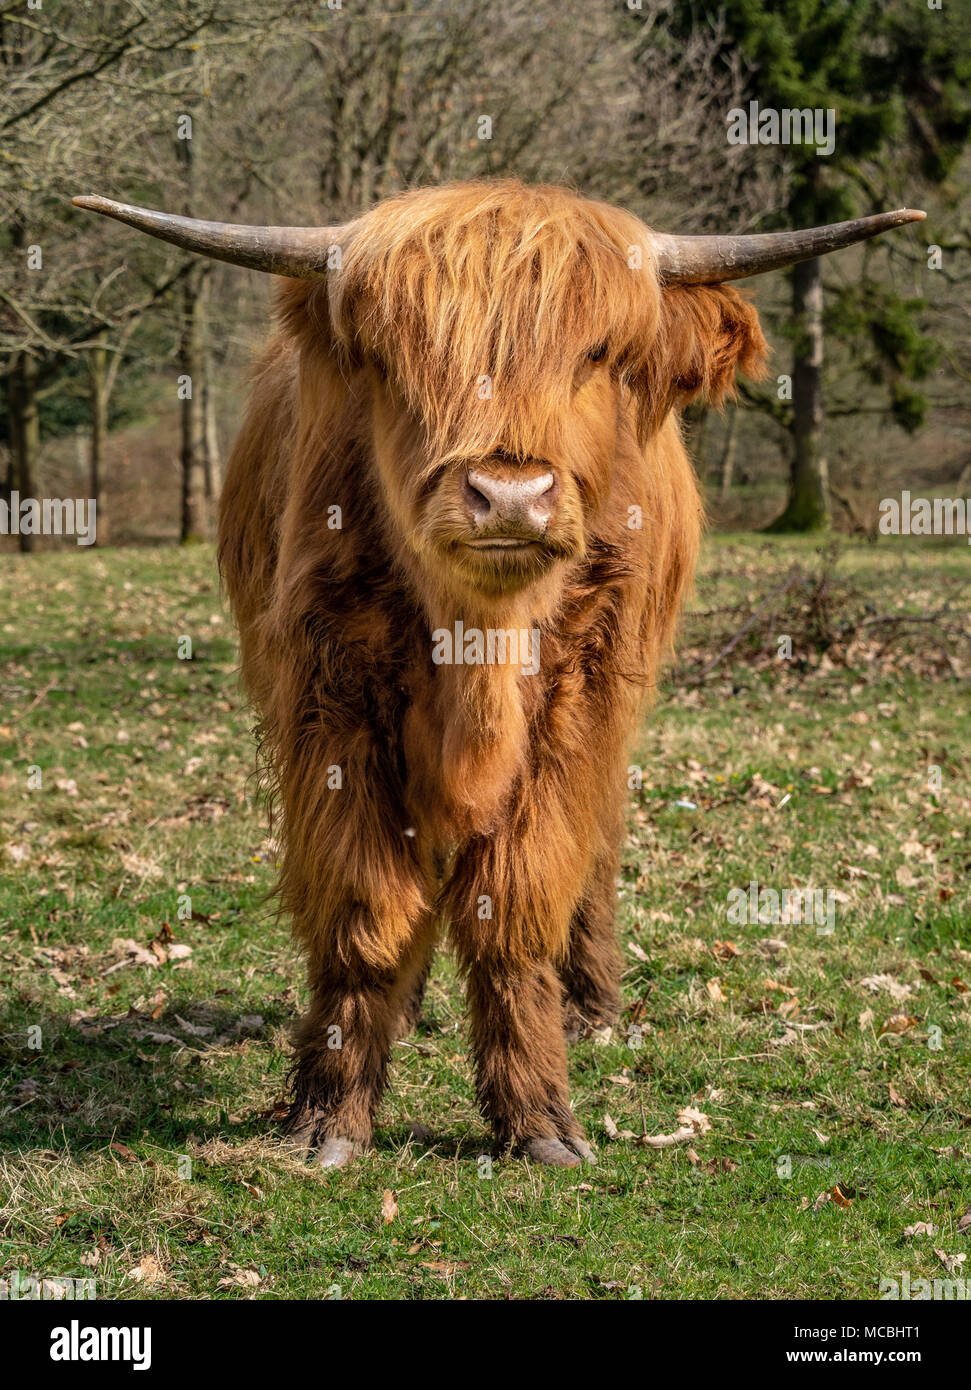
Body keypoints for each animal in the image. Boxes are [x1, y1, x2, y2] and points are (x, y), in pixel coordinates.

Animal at [74, 181, 923, 1167]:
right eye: (395, 359)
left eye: (596, 354)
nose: (509, 496)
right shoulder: (329, 698)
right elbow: (366, 904)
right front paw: (331, 1110)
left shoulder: (577, 703)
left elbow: (517, 896)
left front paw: (538, 1113)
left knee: (598, 844)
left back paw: (590, 1002)